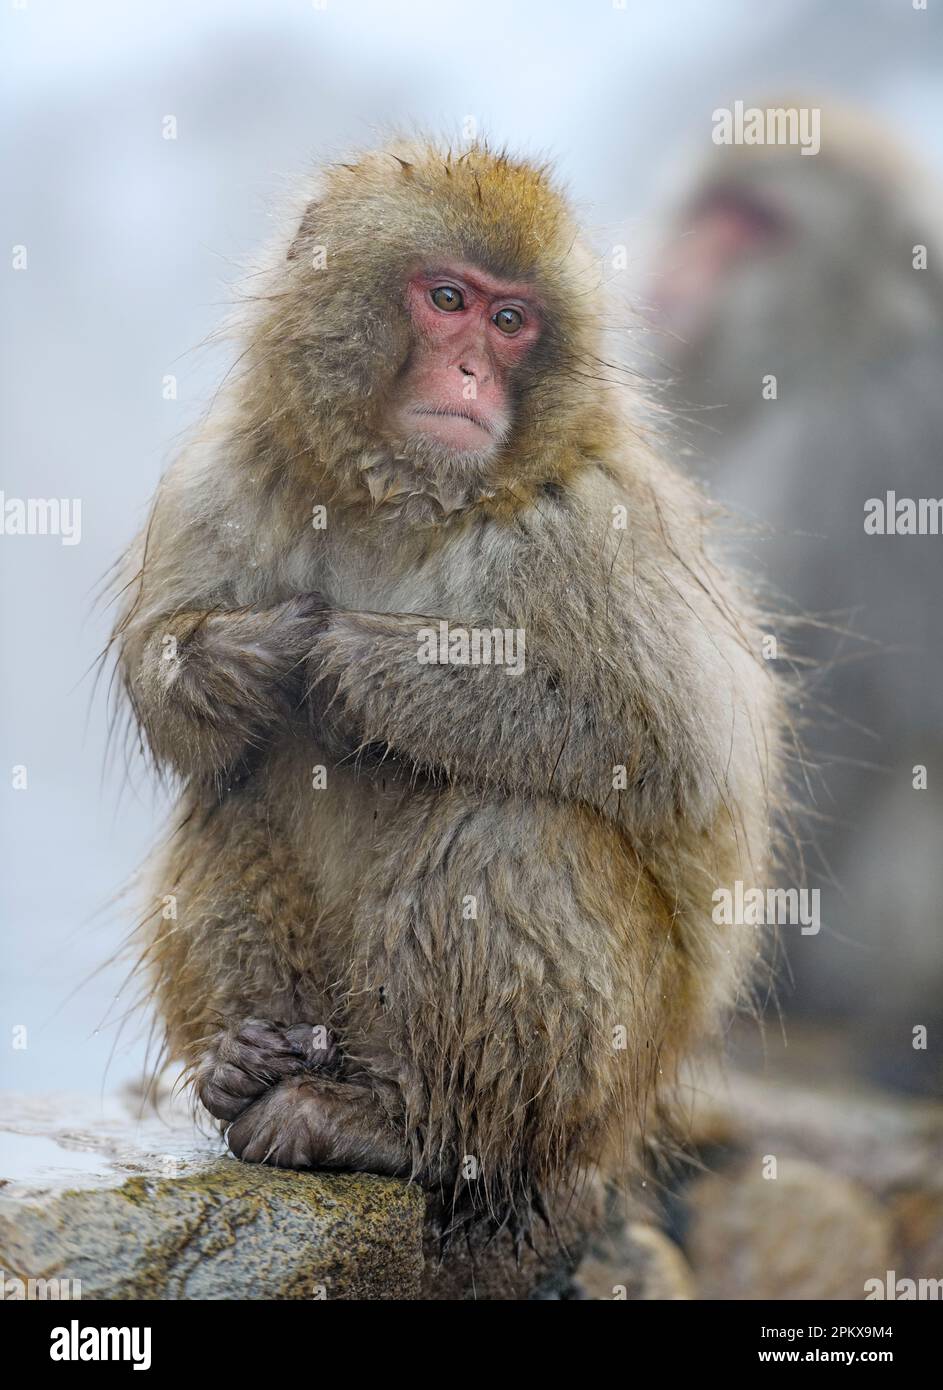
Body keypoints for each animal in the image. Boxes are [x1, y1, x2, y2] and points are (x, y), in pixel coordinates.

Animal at [110, 138, 782, 1234]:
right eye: (447, 299)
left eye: (512, 323)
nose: (471, 372)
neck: (402, 497)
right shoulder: (223, 474)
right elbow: (166, 689)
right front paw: (253, 652)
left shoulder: (584, 524)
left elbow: (673, 755)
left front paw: (347, 655)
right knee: (235, 786)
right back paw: (244, 1069)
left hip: (602, 1089)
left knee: (515, 821)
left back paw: (409, 1127)